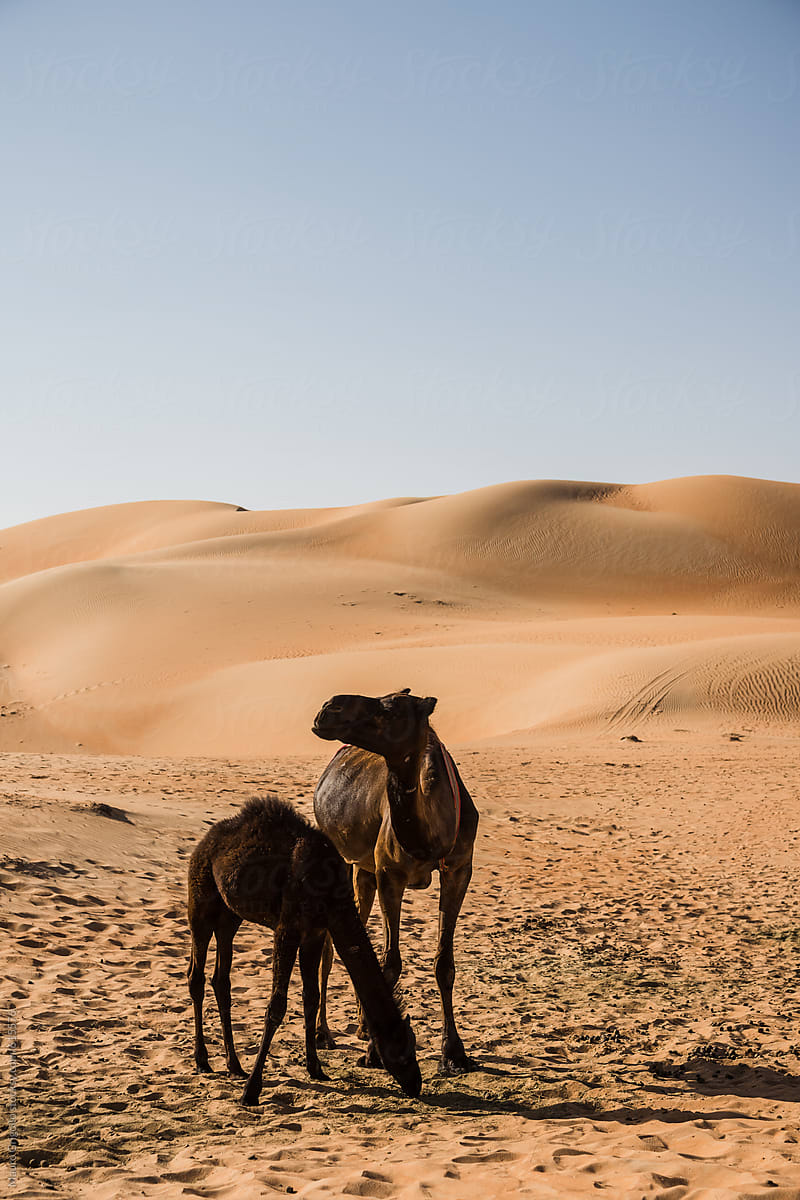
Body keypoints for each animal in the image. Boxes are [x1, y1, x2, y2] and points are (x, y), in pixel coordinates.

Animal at [187, 794, 422, 1105]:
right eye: (402, 1053)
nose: (416, 1084)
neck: (331, 892)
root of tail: (204, 842)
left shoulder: (315, 933)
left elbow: (311, 997)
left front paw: (316, 1068)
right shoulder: (288, 929)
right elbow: (276, 1005)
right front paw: (251, 1090)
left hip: (229, 916)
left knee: (221, 979)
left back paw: (234, 1064)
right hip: (200, 900)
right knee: (196, 975)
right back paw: (202, 1060)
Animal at [312, 689, 478, 1075]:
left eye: (392, 709)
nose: (328, 707)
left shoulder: (459, 869)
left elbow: (444, 964)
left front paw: (454, 1053)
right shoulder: (390, 874)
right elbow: (391, 964)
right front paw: (377, 1053)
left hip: (364, 871)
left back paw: (362, 1025)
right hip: (342, 860)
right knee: (330, 942)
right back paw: (323, 1033)